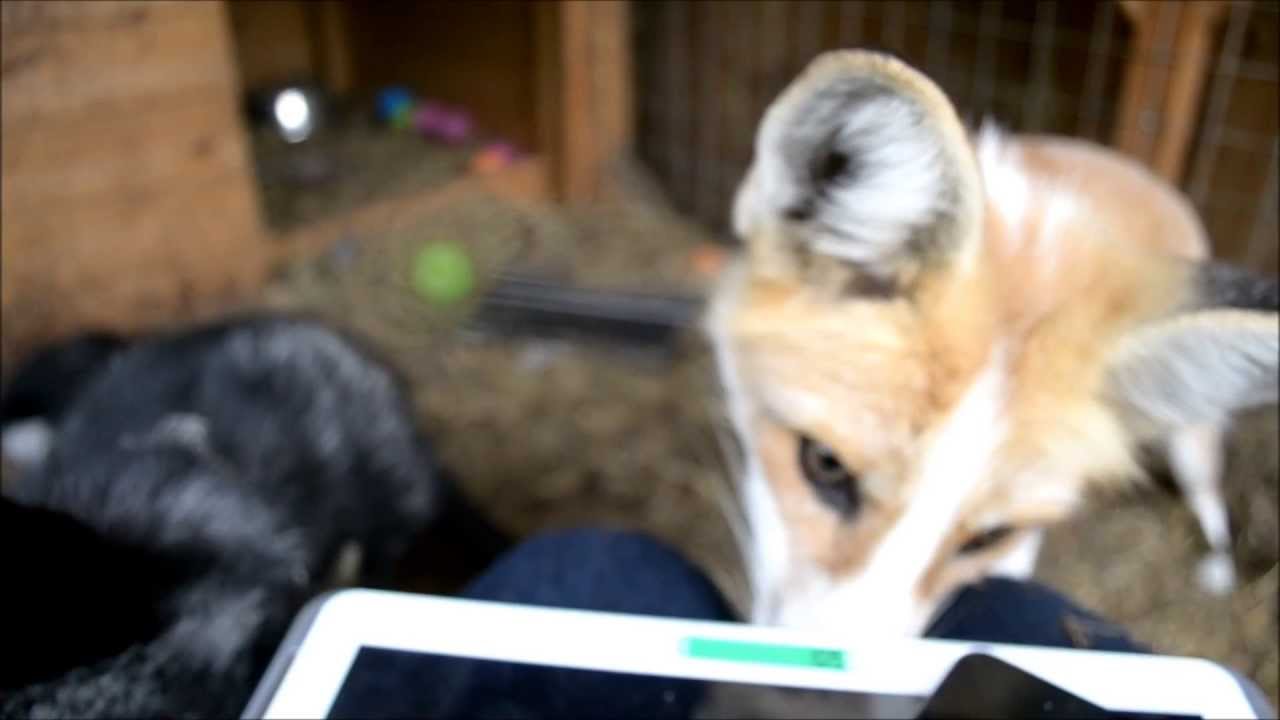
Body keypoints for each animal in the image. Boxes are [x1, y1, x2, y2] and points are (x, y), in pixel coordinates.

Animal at [706, 50, 1279, 638]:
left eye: (988, 537)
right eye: (823, 464)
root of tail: (1141, 171)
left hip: (1192, 445)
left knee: (1210, 499)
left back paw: (1218, 570)